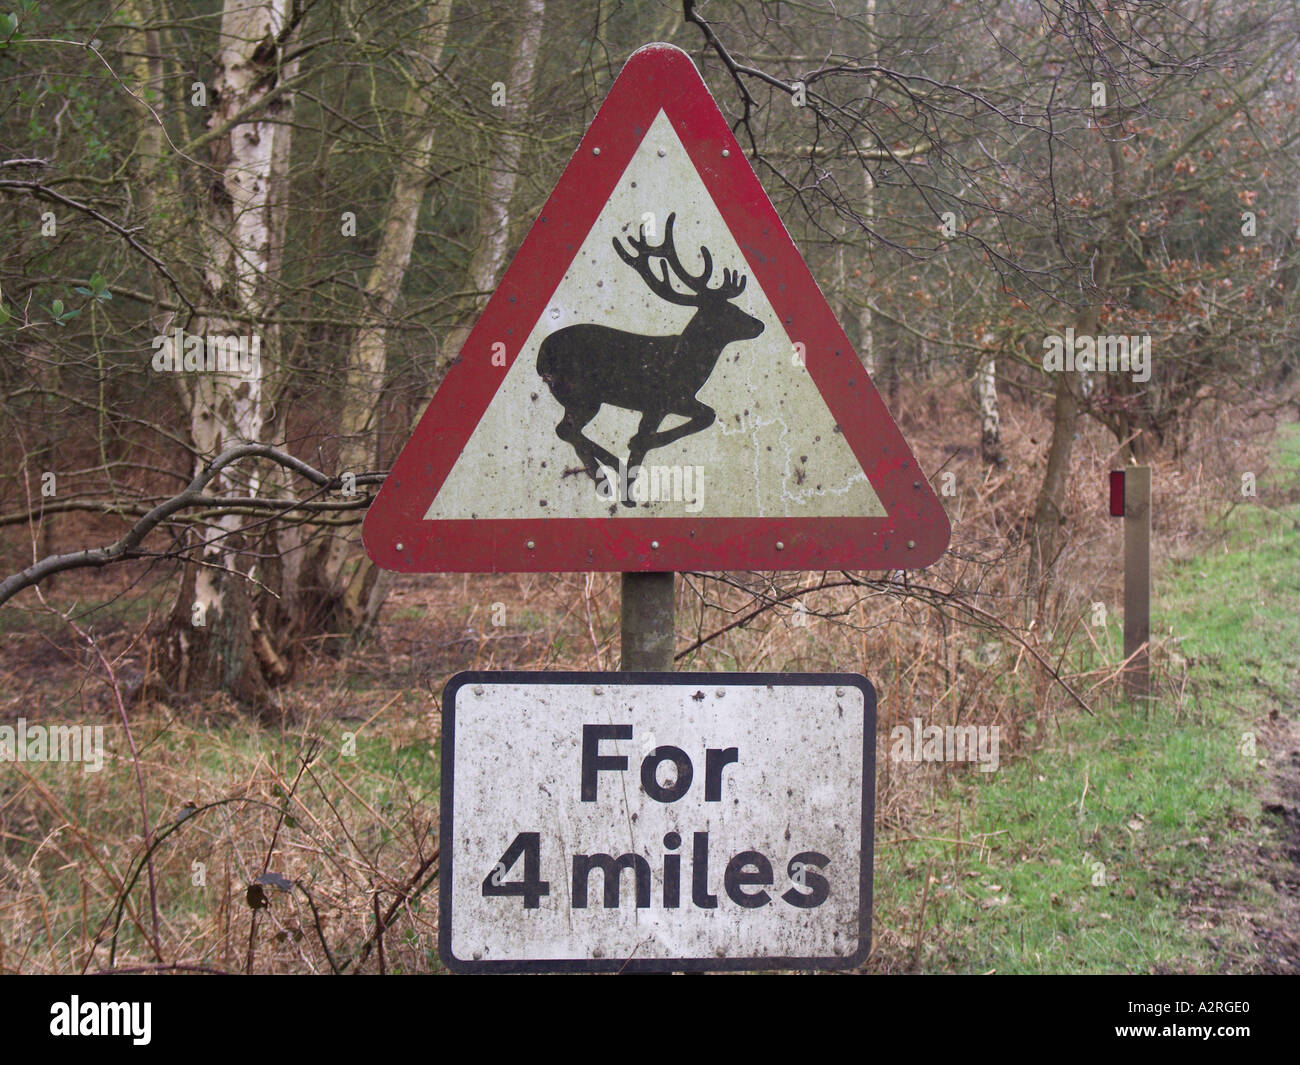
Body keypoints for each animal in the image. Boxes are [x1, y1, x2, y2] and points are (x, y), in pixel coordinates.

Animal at [537, 212, 765, 507]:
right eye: (729, 310)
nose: (759, 324)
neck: (687, 364)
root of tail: (541, 360)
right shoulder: (665, 398)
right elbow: (707, 415)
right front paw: (634, 449)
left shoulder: (655, 408)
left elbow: (648, 443)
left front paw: (629, 495)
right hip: (583, 393)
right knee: (565, 429)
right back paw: (613, 467)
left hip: (577, 397)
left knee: (566, 430)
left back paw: (605, 483)